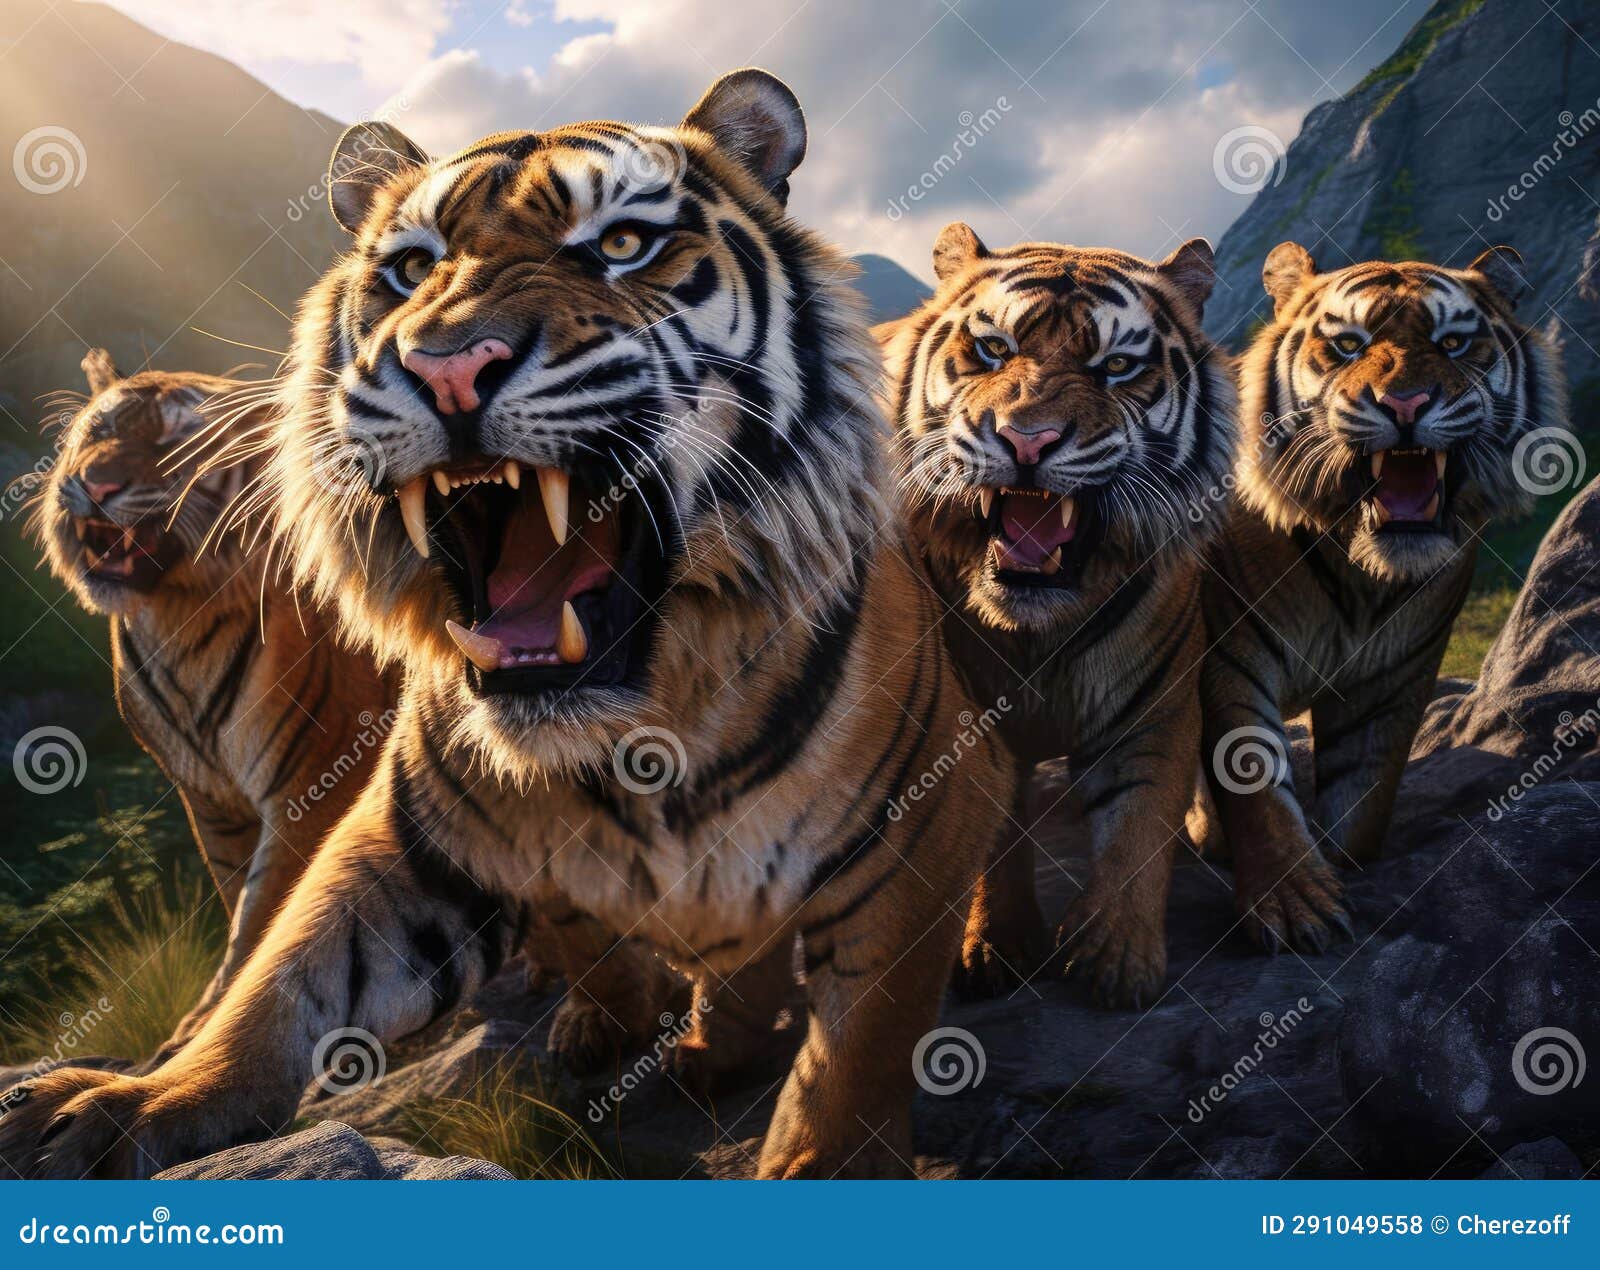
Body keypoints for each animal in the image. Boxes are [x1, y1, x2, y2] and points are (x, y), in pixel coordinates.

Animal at [28, 351, 396, 1058]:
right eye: (99, 430)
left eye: (176, 439)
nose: (94, 484)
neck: (175, 613)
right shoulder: (210, 799)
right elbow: (235, 897)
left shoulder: (310, 782)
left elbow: (266, 911)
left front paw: (204, 1032)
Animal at [880, 224, 1237, 1008]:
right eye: (993, 349)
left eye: (1118, 366)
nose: (1028, 441)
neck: (1035, 632)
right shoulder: (968, 719)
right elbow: (996, 836)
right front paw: (997, 945)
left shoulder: (1152, 710)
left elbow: (1138, 827)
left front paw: (1118, 961)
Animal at [1195, 242, 1568, 952]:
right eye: (1347, 344)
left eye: (1453, 343)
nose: (1406, 404)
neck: (1364, 571)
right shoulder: (1228, 650)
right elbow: (1255, 787)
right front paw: (1293, 907)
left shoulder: (1396, 676)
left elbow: (1364, 798)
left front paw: (1339, 870)